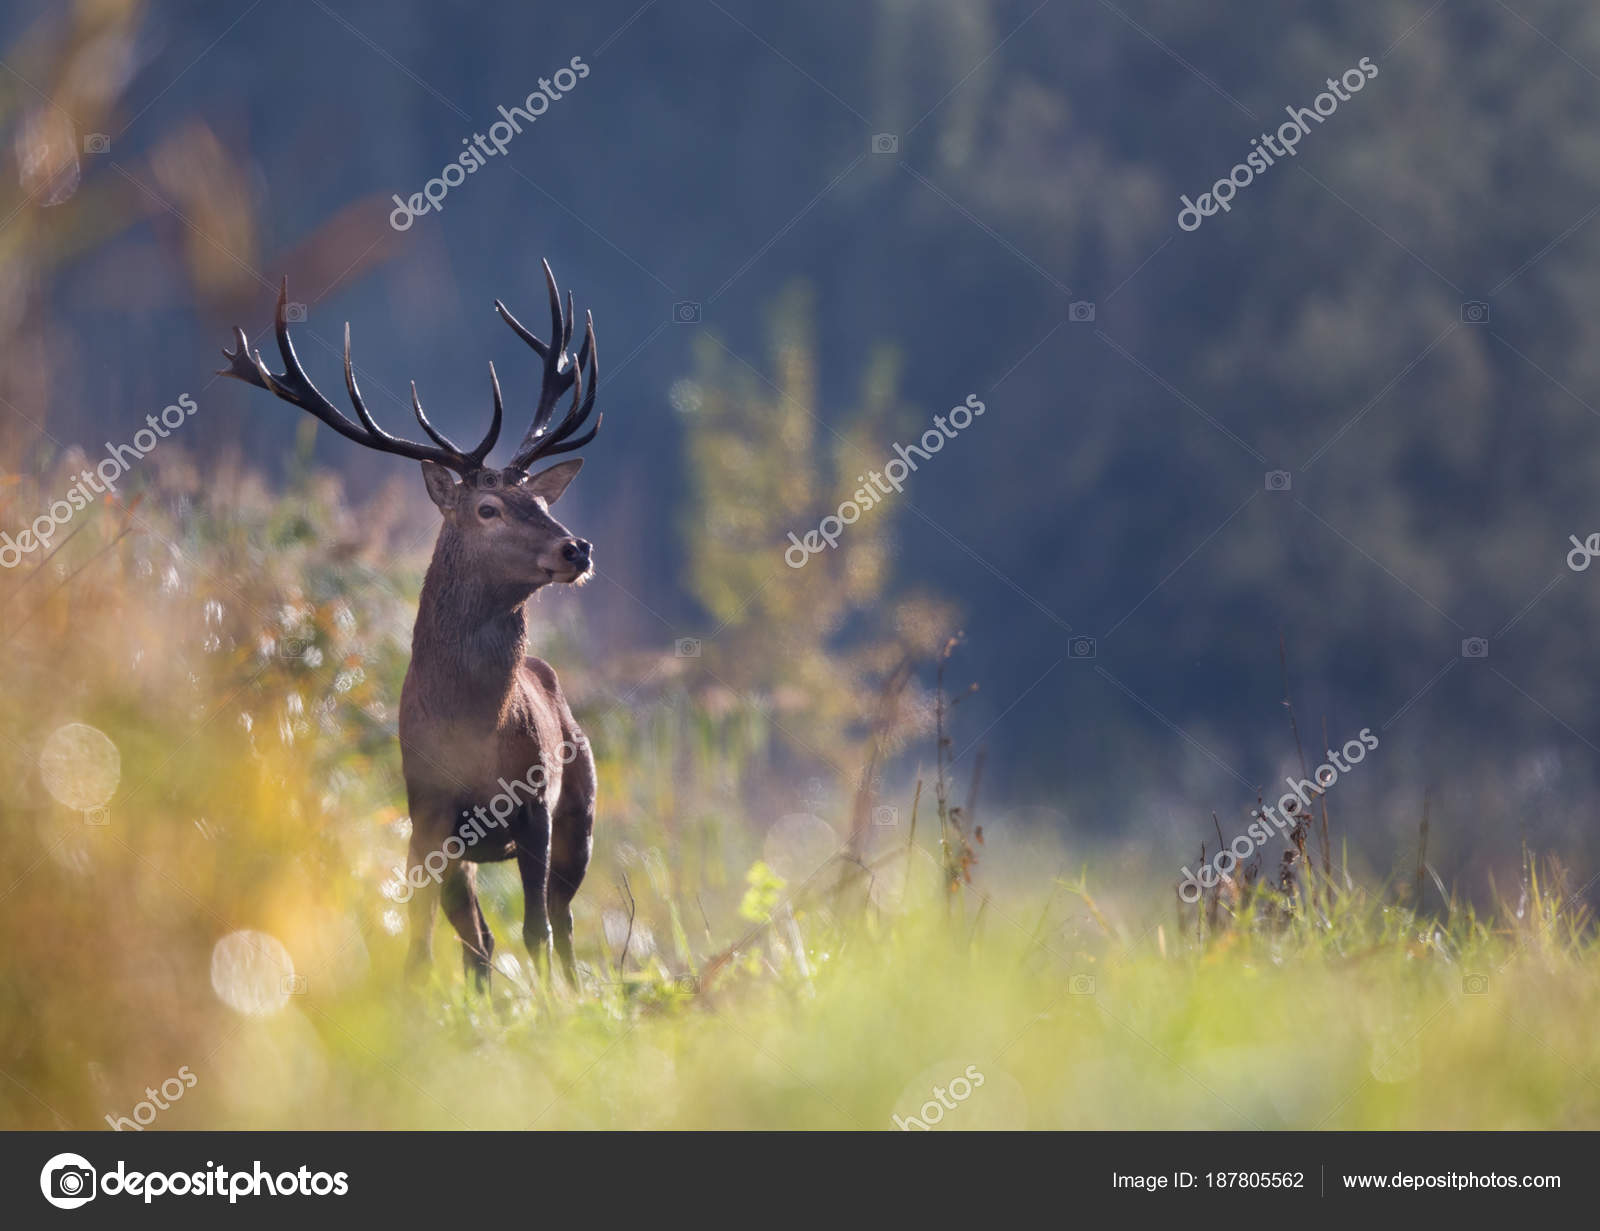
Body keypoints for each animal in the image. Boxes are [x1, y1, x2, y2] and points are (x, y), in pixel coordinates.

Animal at [219, 260, 603, 994]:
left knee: (561, 924)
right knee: (478, 938)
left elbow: (535, 931)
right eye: (487, 508)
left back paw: (574, 993)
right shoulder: (427, 811)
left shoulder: (535, 805)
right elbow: (423, 943)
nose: (577, 548)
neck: (473, 732)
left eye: (540, 501)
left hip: (582, 805)